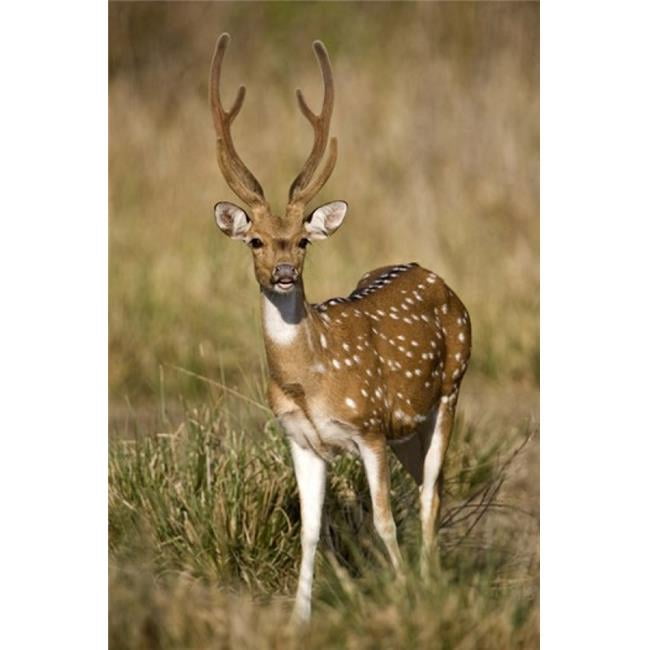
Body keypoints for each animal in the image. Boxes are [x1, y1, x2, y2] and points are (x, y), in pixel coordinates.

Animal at [209, 33, 471, 624]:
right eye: (255, 239)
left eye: (303, 240)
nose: (284, 272)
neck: (311, 376)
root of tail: (431, 273)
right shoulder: (300, 439)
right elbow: (311, 531)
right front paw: (299, 618)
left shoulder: (369, 427)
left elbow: (383, 521)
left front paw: (403, 598)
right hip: (409, 429)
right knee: (433, 484)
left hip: (450, 389)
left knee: (430, 493)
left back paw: (430, 583)